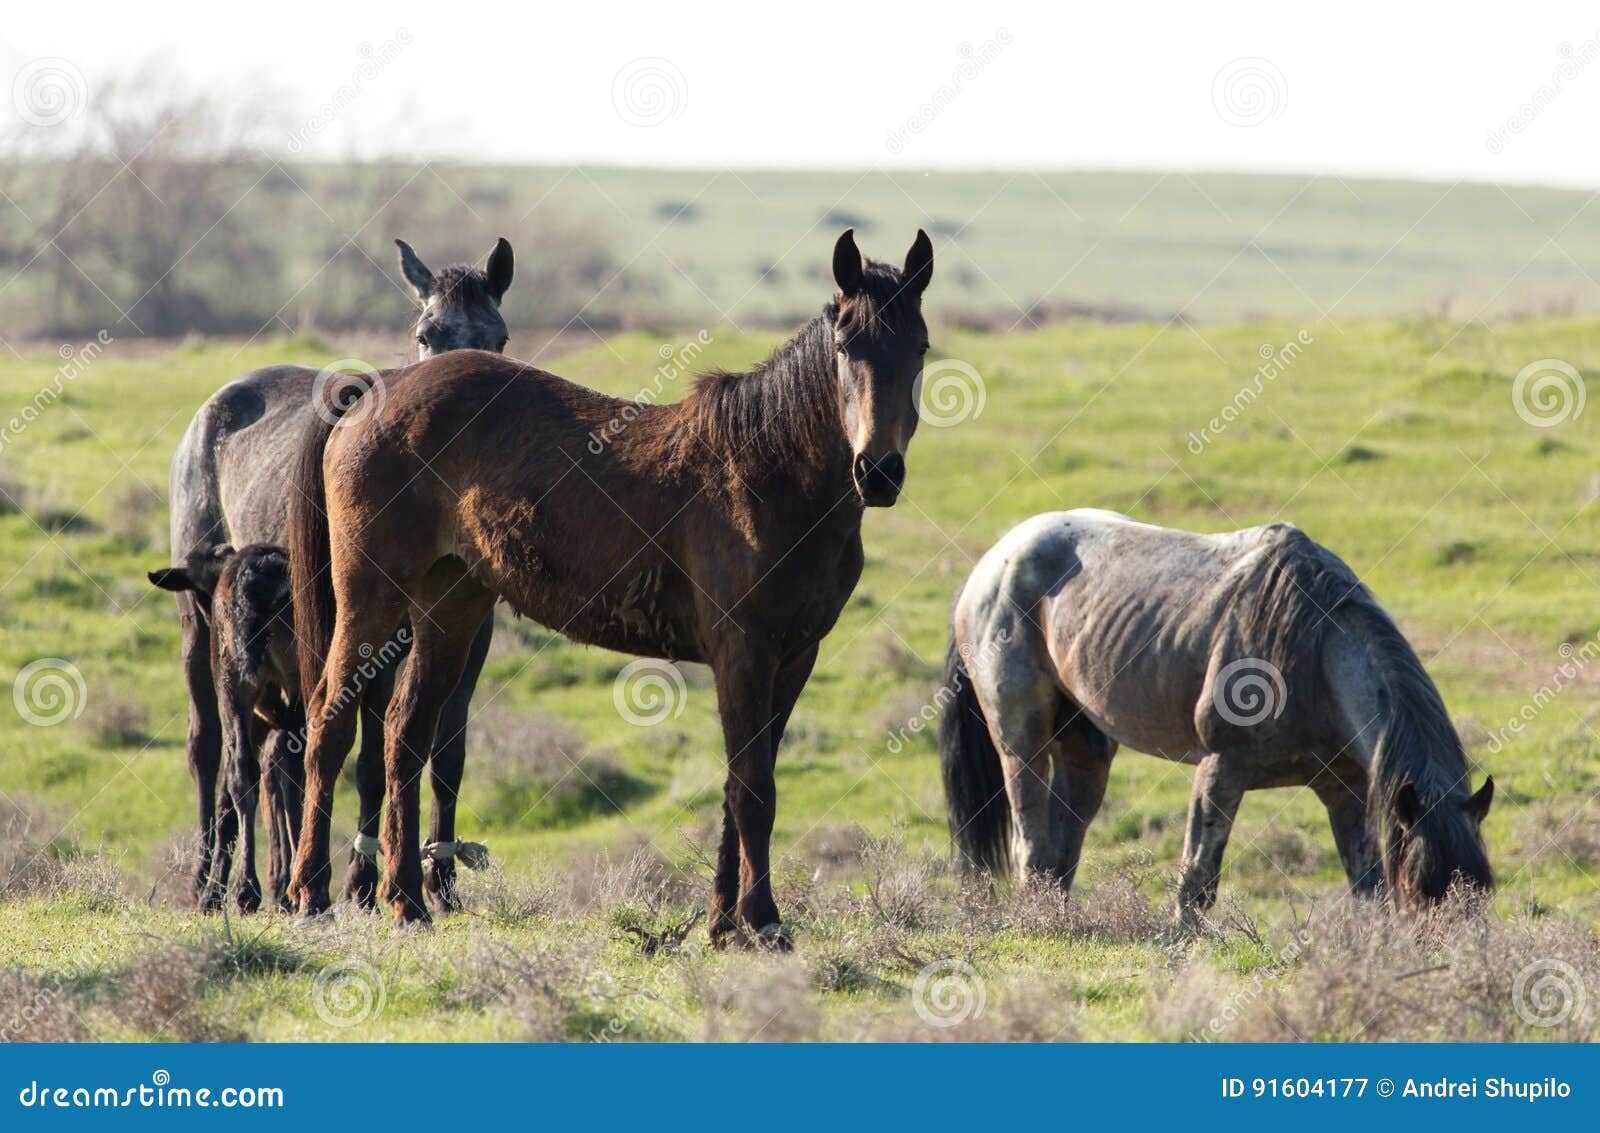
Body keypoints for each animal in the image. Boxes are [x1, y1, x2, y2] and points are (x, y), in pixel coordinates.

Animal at [149, 544, 304, 912]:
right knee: (273, 768)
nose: (206, 617)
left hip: (233, 679)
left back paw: (246, 889)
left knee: (244, 771)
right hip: (275, 680)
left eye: (198, 591)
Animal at [165, 236, 514, 912]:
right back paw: (210, 883)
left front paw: (441, 883)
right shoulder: (372, 639)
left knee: (273, 759)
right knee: (208, 747)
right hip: (202, 621)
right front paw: (362, 883)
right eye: (426, 334)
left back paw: (265, 881)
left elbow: (446, 754)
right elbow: (374, 756)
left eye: (499, 338)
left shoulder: (468, 637)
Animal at [284, 228, 933, 938]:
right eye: (844, 347)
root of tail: (380, 387)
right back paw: (311, 894)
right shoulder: (744, 652)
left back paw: (407, 901)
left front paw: (723, 924)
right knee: (330, 722)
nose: (878, 472)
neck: (770, 473)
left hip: (451, 603)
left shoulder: (794, 657)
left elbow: (741, 785)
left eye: (920, 347)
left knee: (405, 732)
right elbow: (752, 787)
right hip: (371, 598)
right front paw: (761, 922)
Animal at [940, 509, 1493, 925]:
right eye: (1419, 887)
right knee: (1031, 843)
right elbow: (1197, 881)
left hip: (1086, 746)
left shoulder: (1347, 789)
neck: (1311, 652)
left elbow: (1368, 888)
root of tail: (991, 563)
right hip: (1021, 739)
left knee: (1062, 846)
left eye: (1483, 891)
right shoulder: (1221, 767)